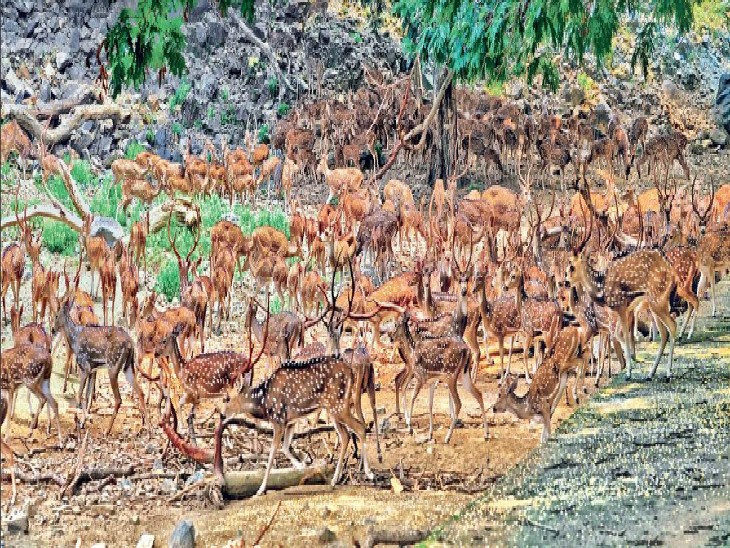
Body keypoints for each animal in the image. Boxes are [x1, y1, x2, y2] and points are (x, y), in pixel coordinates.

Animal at [52, 299, 147, 435]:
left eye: (56, 315)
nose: (52, 329)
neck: (74, 339)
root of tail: (131, 344)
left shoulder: (85, 366)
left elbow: (79, 395)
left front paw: (85, 420)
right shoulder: (93, 369)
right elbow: (87, 396)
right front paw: (82, 422)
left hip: (113, 365)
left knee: (118, 399)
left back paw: (107, 430)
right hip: (128, 367)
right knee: (141, 392)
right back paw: (147, 427)